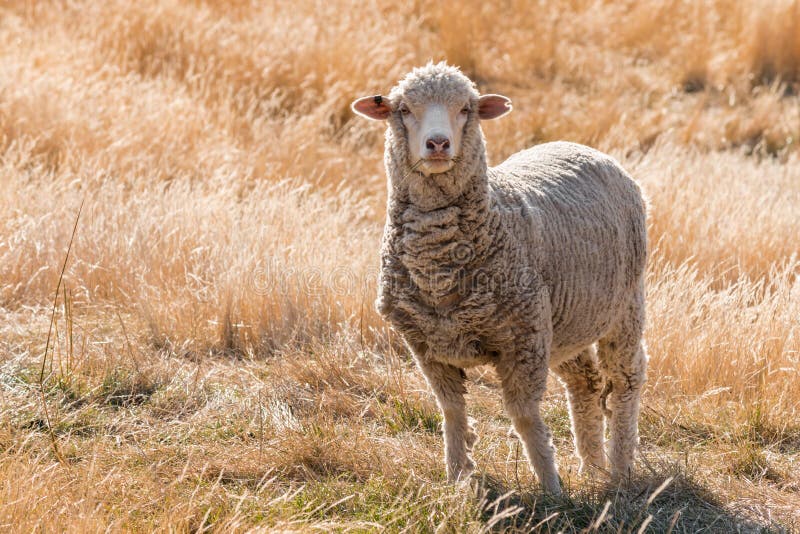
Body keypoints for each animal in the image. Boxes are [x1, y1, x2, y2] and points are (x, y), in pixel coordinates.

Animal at [351, 62, 648, 494]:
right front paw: (457, 477)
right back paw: (592, 468)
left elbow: (523, 414)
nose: (437, 144)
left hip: (625, 306)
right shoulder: (426, 345)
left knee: (625, 380)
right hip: (566, 323)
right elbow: (451, 411)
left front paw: (551, 488)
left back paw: (621, 468)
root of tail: (582, 146)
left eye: (466, 109)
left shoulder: (523, 340)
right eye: (403, 109)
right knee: (587, 383)